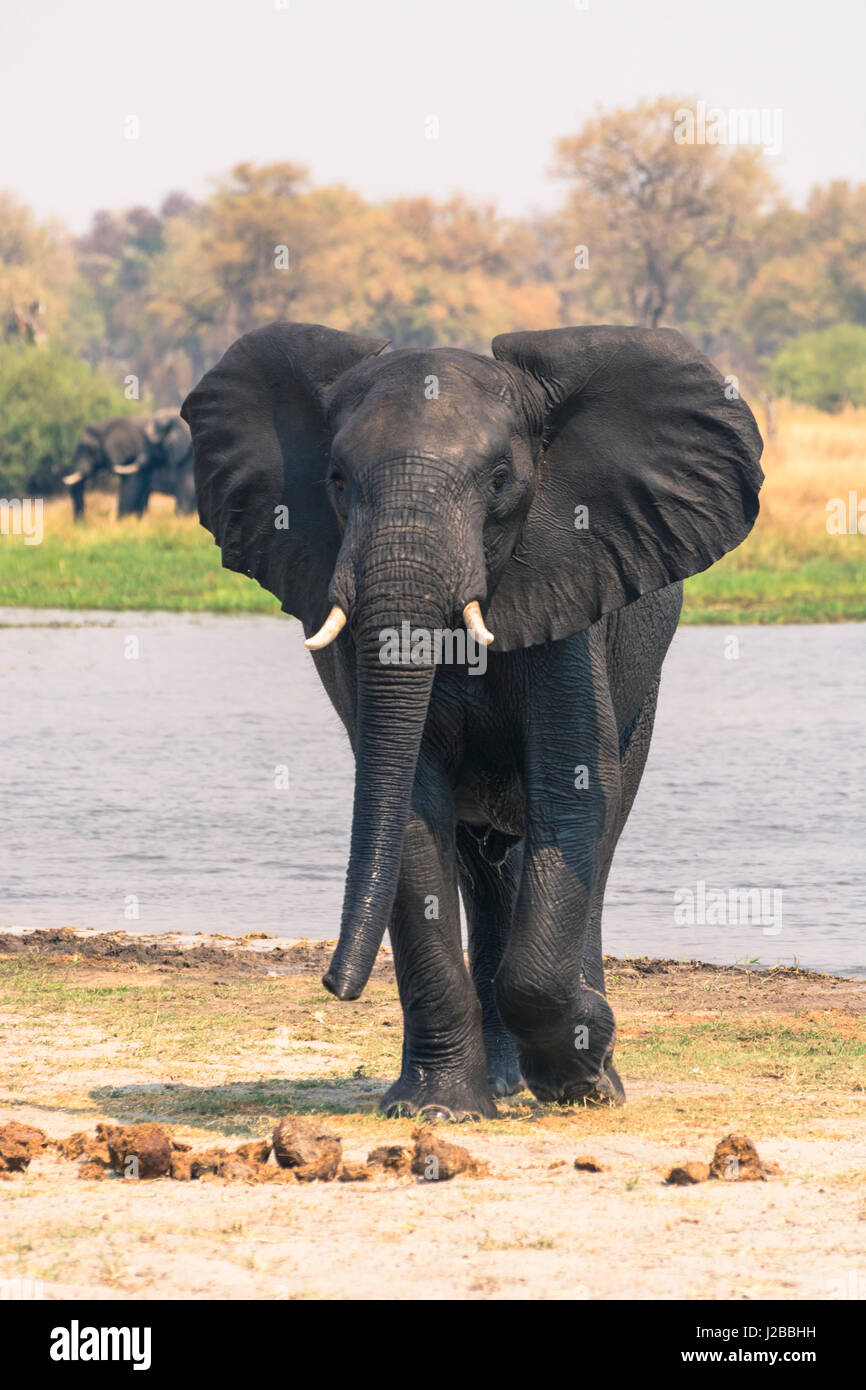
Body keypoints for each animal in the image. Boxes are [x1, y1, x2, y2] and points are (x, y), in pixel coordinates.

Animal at [182, 321, 763, 1121]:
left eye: (498, 480)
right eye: (336, 481)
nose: (334, 985)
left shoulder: (571, 589)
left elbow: (574, 795)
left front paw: (585, 1074)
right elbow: (409, 812)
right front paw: (436, 1110)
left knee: (598, 836)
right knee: (482, 864)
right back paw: (502, 1083)